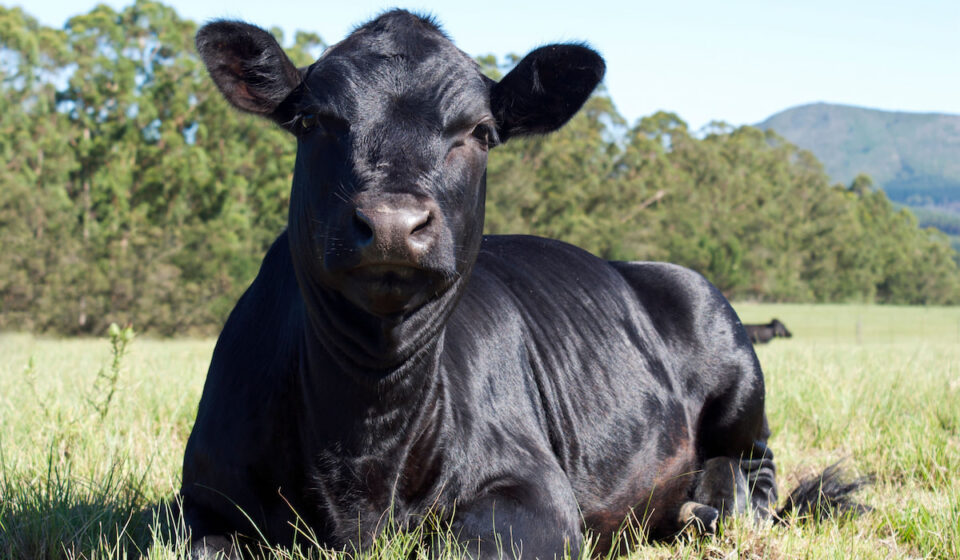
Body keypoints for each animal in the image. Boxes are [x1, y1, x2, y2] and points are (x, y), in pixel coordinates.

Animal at [181, 10, 864, 559]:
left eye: (479, 132)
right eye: (312, 120)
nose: (394, 223)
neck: (367, 435)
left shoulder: (534, 491)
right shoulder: (207, 501)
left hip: (734, 366)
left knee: (755, 471)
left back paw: (709, 503)